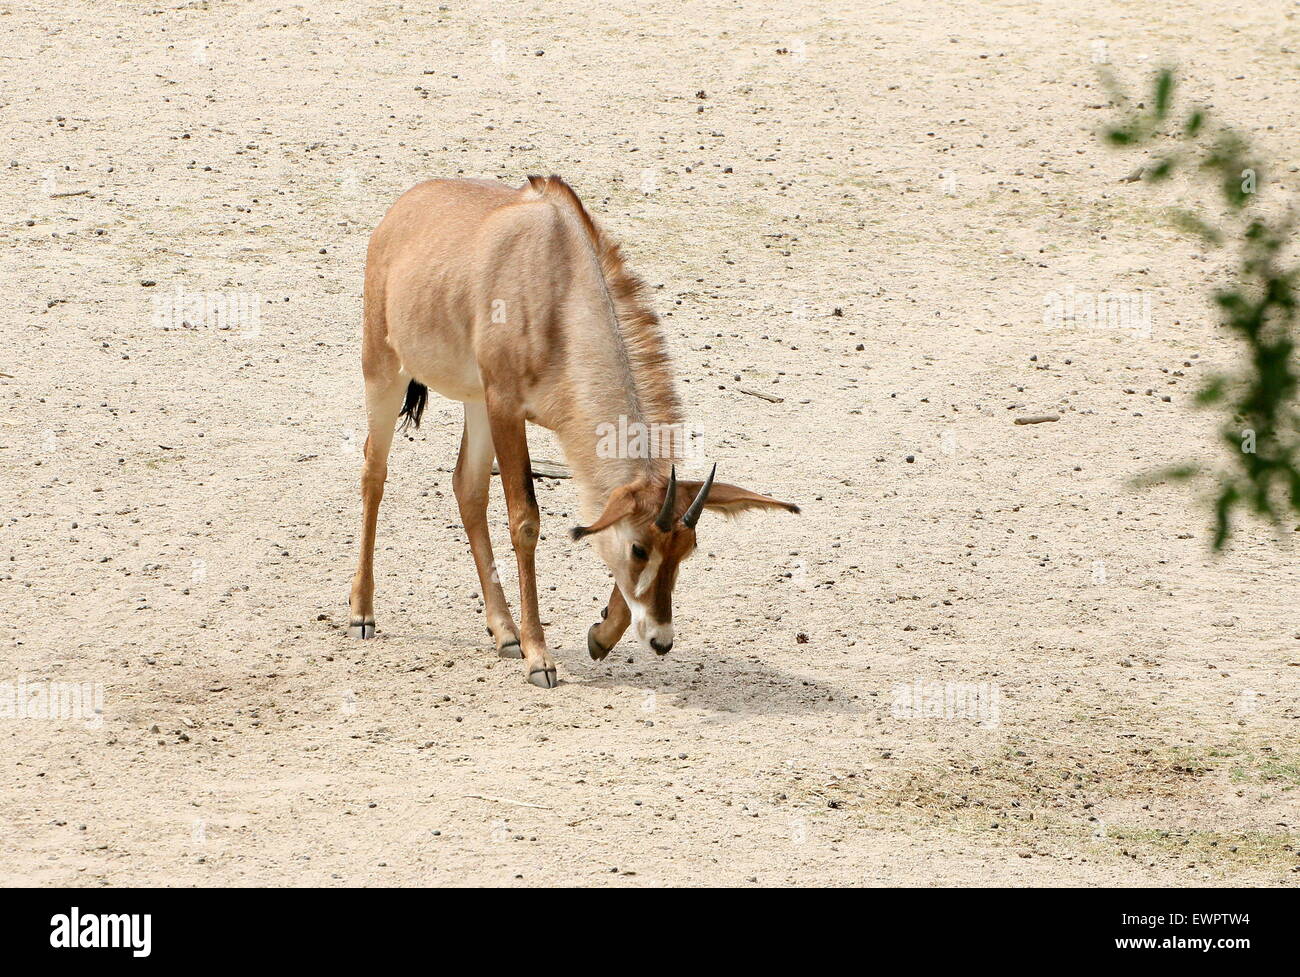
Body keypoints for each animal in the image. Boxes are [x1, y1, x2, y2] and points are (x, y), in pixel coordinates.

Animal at [348, 175, 799, 688]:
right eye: (639, 549)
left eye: (686, 551)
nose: (661, 640)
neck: (558, 287)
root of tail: (404, 205)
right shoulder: (507, 407)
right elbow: (526, 521)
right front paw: (539, 658)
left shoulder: (497, 404)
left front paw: (600, 636)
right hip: (385, 368)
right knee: (374, 470)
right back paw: (363, 612)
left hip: (474, 400)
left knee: (467, 488)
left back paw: (504, 632)